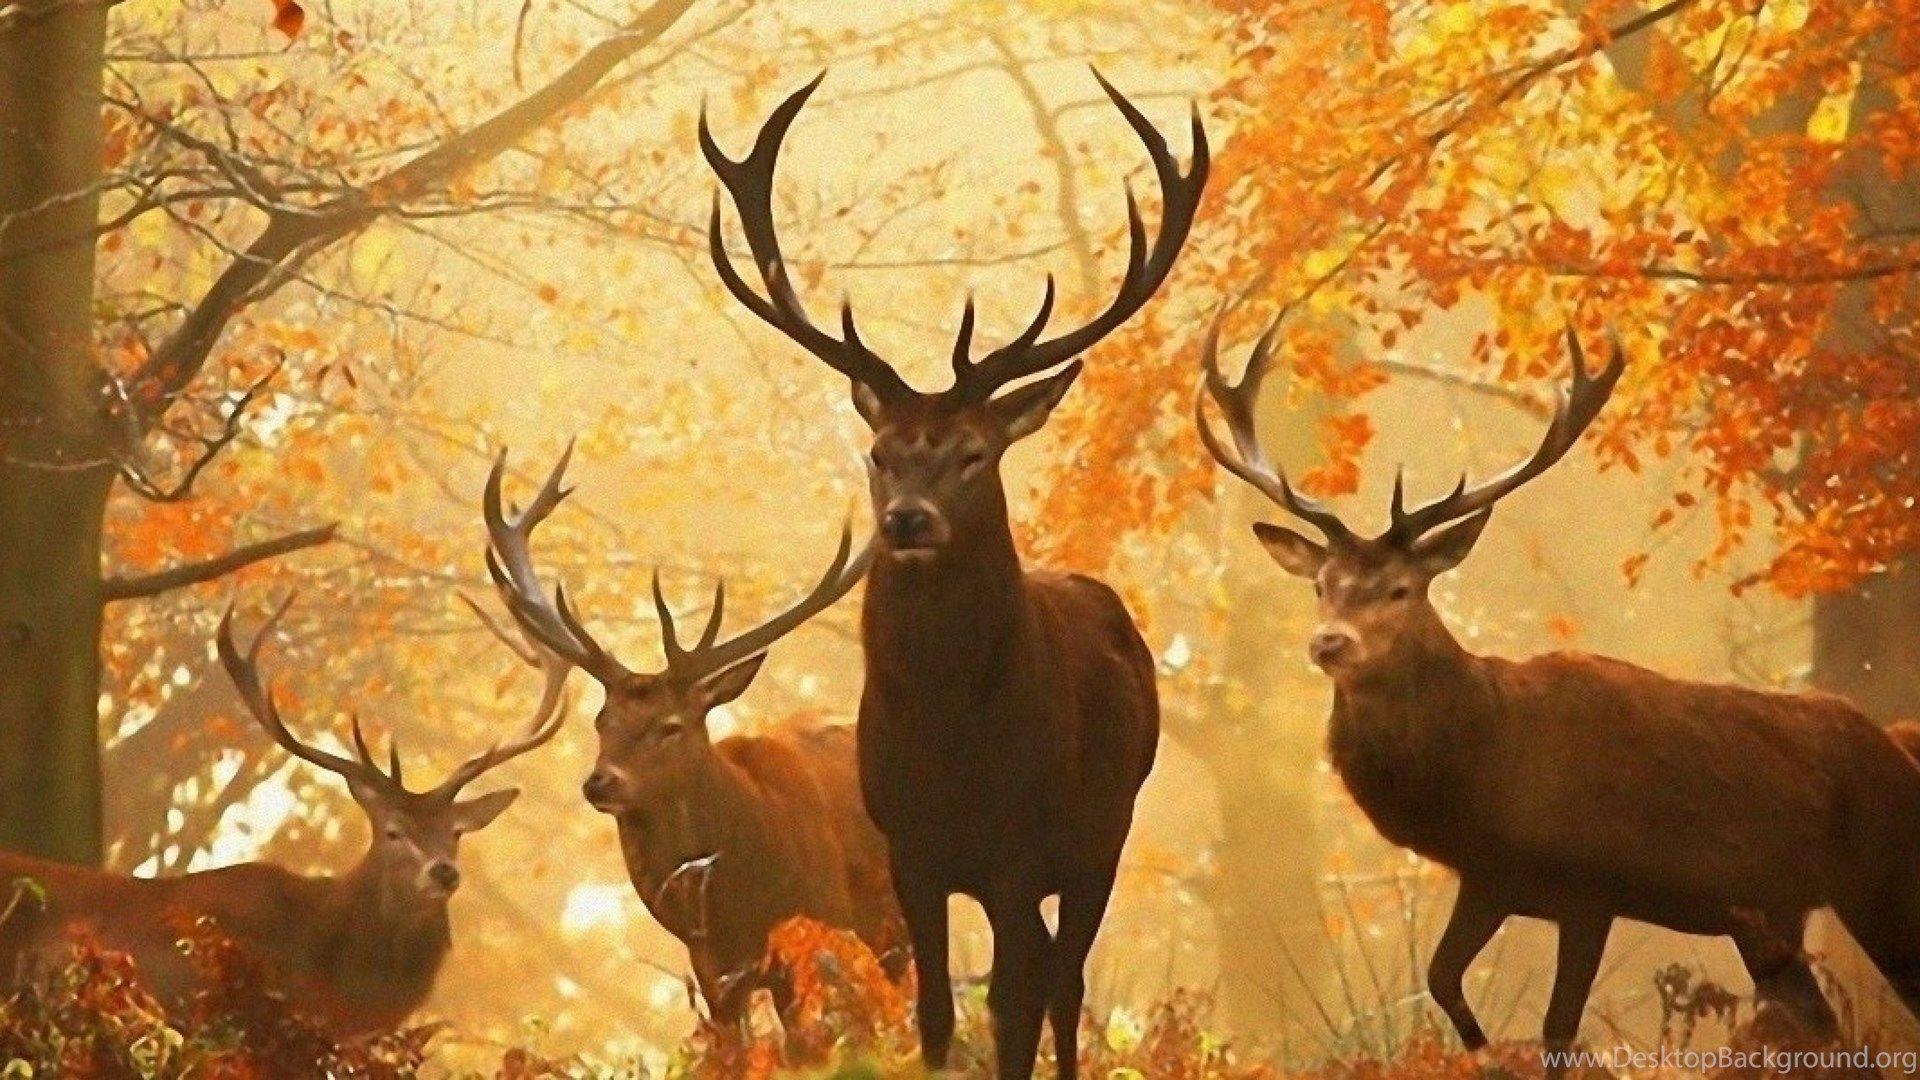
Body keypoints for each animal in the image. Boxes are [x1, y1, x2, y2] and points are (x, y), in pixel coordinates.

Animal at [699, 71, 1206, 1079]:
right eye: (879, 452)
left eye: (974, 453)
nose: (907, 520)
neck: (953, 744)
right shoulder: (910, 850)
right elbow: (933, 1010)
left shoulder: (1021, 848)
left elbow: (1011, 1005)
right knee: (1047, 974)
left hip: (1105, 831)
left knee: (1063, 982)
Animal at [1196, 313, 1920, 1071]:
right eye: (1321, 584)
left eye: (1399, 588)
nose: (1329, 643)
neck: (1485, 774)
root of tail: (1899, 748)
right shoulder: (1489, 879)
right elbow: (1442, 980)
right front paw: (1481, 1052)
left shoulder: (1591, 887)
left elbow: (1557, 1028)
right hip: (1769, 916)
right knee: (1823, 1025)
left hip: (1885, 878)